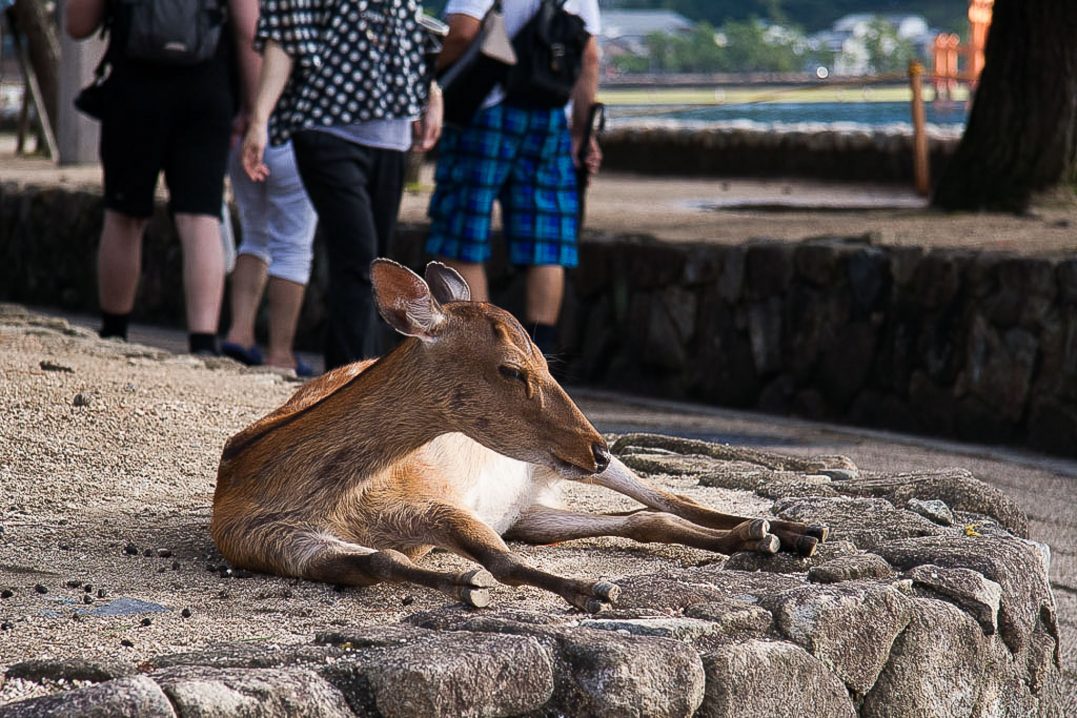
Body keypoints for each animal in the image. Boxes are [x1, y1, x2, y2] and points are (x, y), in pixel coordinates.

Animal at [212, 259, 828, 612]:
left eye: (546, 360)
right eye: (511, 369)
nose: (598, 449)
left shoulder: (438, 502)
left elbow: (499, 560)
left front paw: (593, 592)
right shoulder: (283, 547)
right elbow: (380, 562)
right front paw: (465, 583)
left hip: (561, 470)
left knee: (670, 496)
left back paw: (795, 530)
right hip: (532, 504)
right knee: (645, 519)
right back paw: (764, 535)